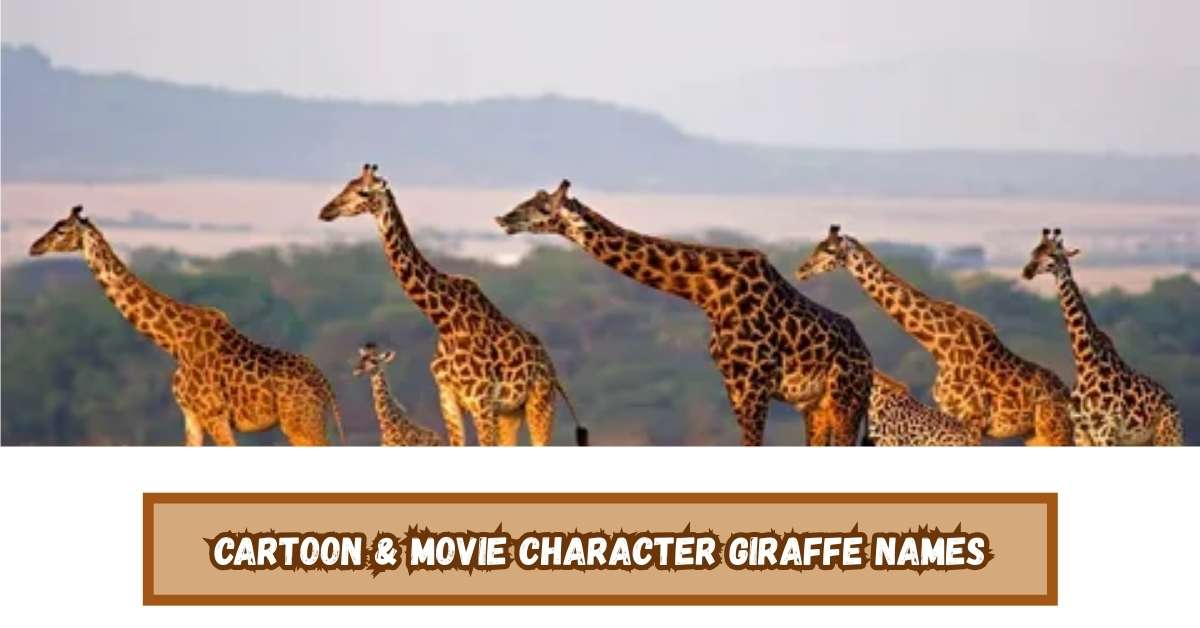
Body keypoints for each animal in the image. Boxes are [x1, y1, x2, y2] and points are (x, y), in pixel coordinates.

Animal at [28, 206, 345, 446]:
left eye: (62, 230)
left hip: (301, 422)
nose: (34, 247)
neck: (173, 341)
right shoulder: (191, 416)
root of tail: (325, 386)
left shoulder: (214, 415)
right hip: (305, 421)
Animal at [319, 165, 587, 447]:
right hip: (510, 412)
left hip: (540, 402)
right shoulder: (447, 398)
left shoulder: (481, 401)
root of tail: (551, 367)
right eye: (347, 185)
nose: (326, 210)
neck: (443, 320)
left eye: (363, 191)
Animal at [495, 180, 874, 446]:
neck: (709, 293)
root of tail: (869, 359)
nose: (503, 218)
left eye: (543, 207)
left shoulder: (754, 384)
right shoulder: (733, 383)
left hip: (847, 399)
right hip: (817, 406)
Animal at [795, 224, 1073, 446]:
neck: (940, 346)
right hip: (1033, 434)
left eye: (830, 250)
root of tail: (1068, 393)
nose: (801, 270)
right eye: (819, 246)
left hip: (1054, 429)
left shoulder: (972, 421)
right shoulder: (952, 416)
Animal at [1023, 228, 1183, 446]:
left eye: (1053, 255)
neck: (1085, 362)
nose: (1027, 271)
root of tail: (1174, 404)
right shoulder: (1081, 432)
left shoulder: (1106, 431)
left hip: (1167, 435)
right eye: (1034, 252)